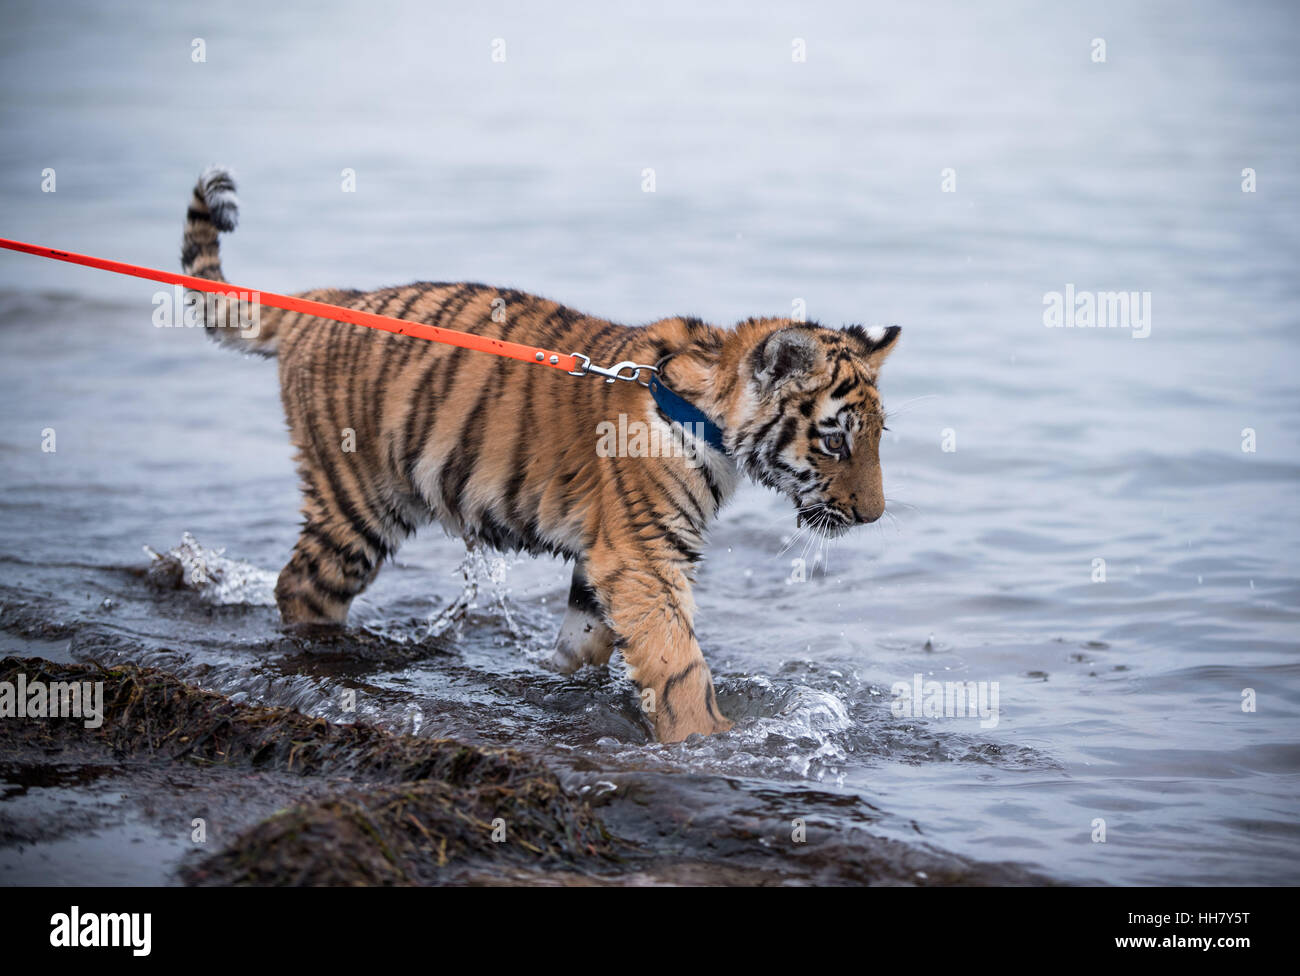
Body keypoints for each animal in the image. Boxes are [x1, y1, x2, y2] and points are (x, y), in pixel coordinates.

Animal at [180, 167, 901, 742]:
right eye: (835, 439)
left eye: (875, 437)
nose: (873, 516)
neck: (709, 414)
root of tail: (329, 298)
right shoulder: (645, 558)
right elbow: (680, 665)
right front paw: (708, 739)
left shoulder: (605, 554)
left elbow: (588, 639)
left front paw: (556, 677)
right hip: (357, 500)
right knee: (301, 585)